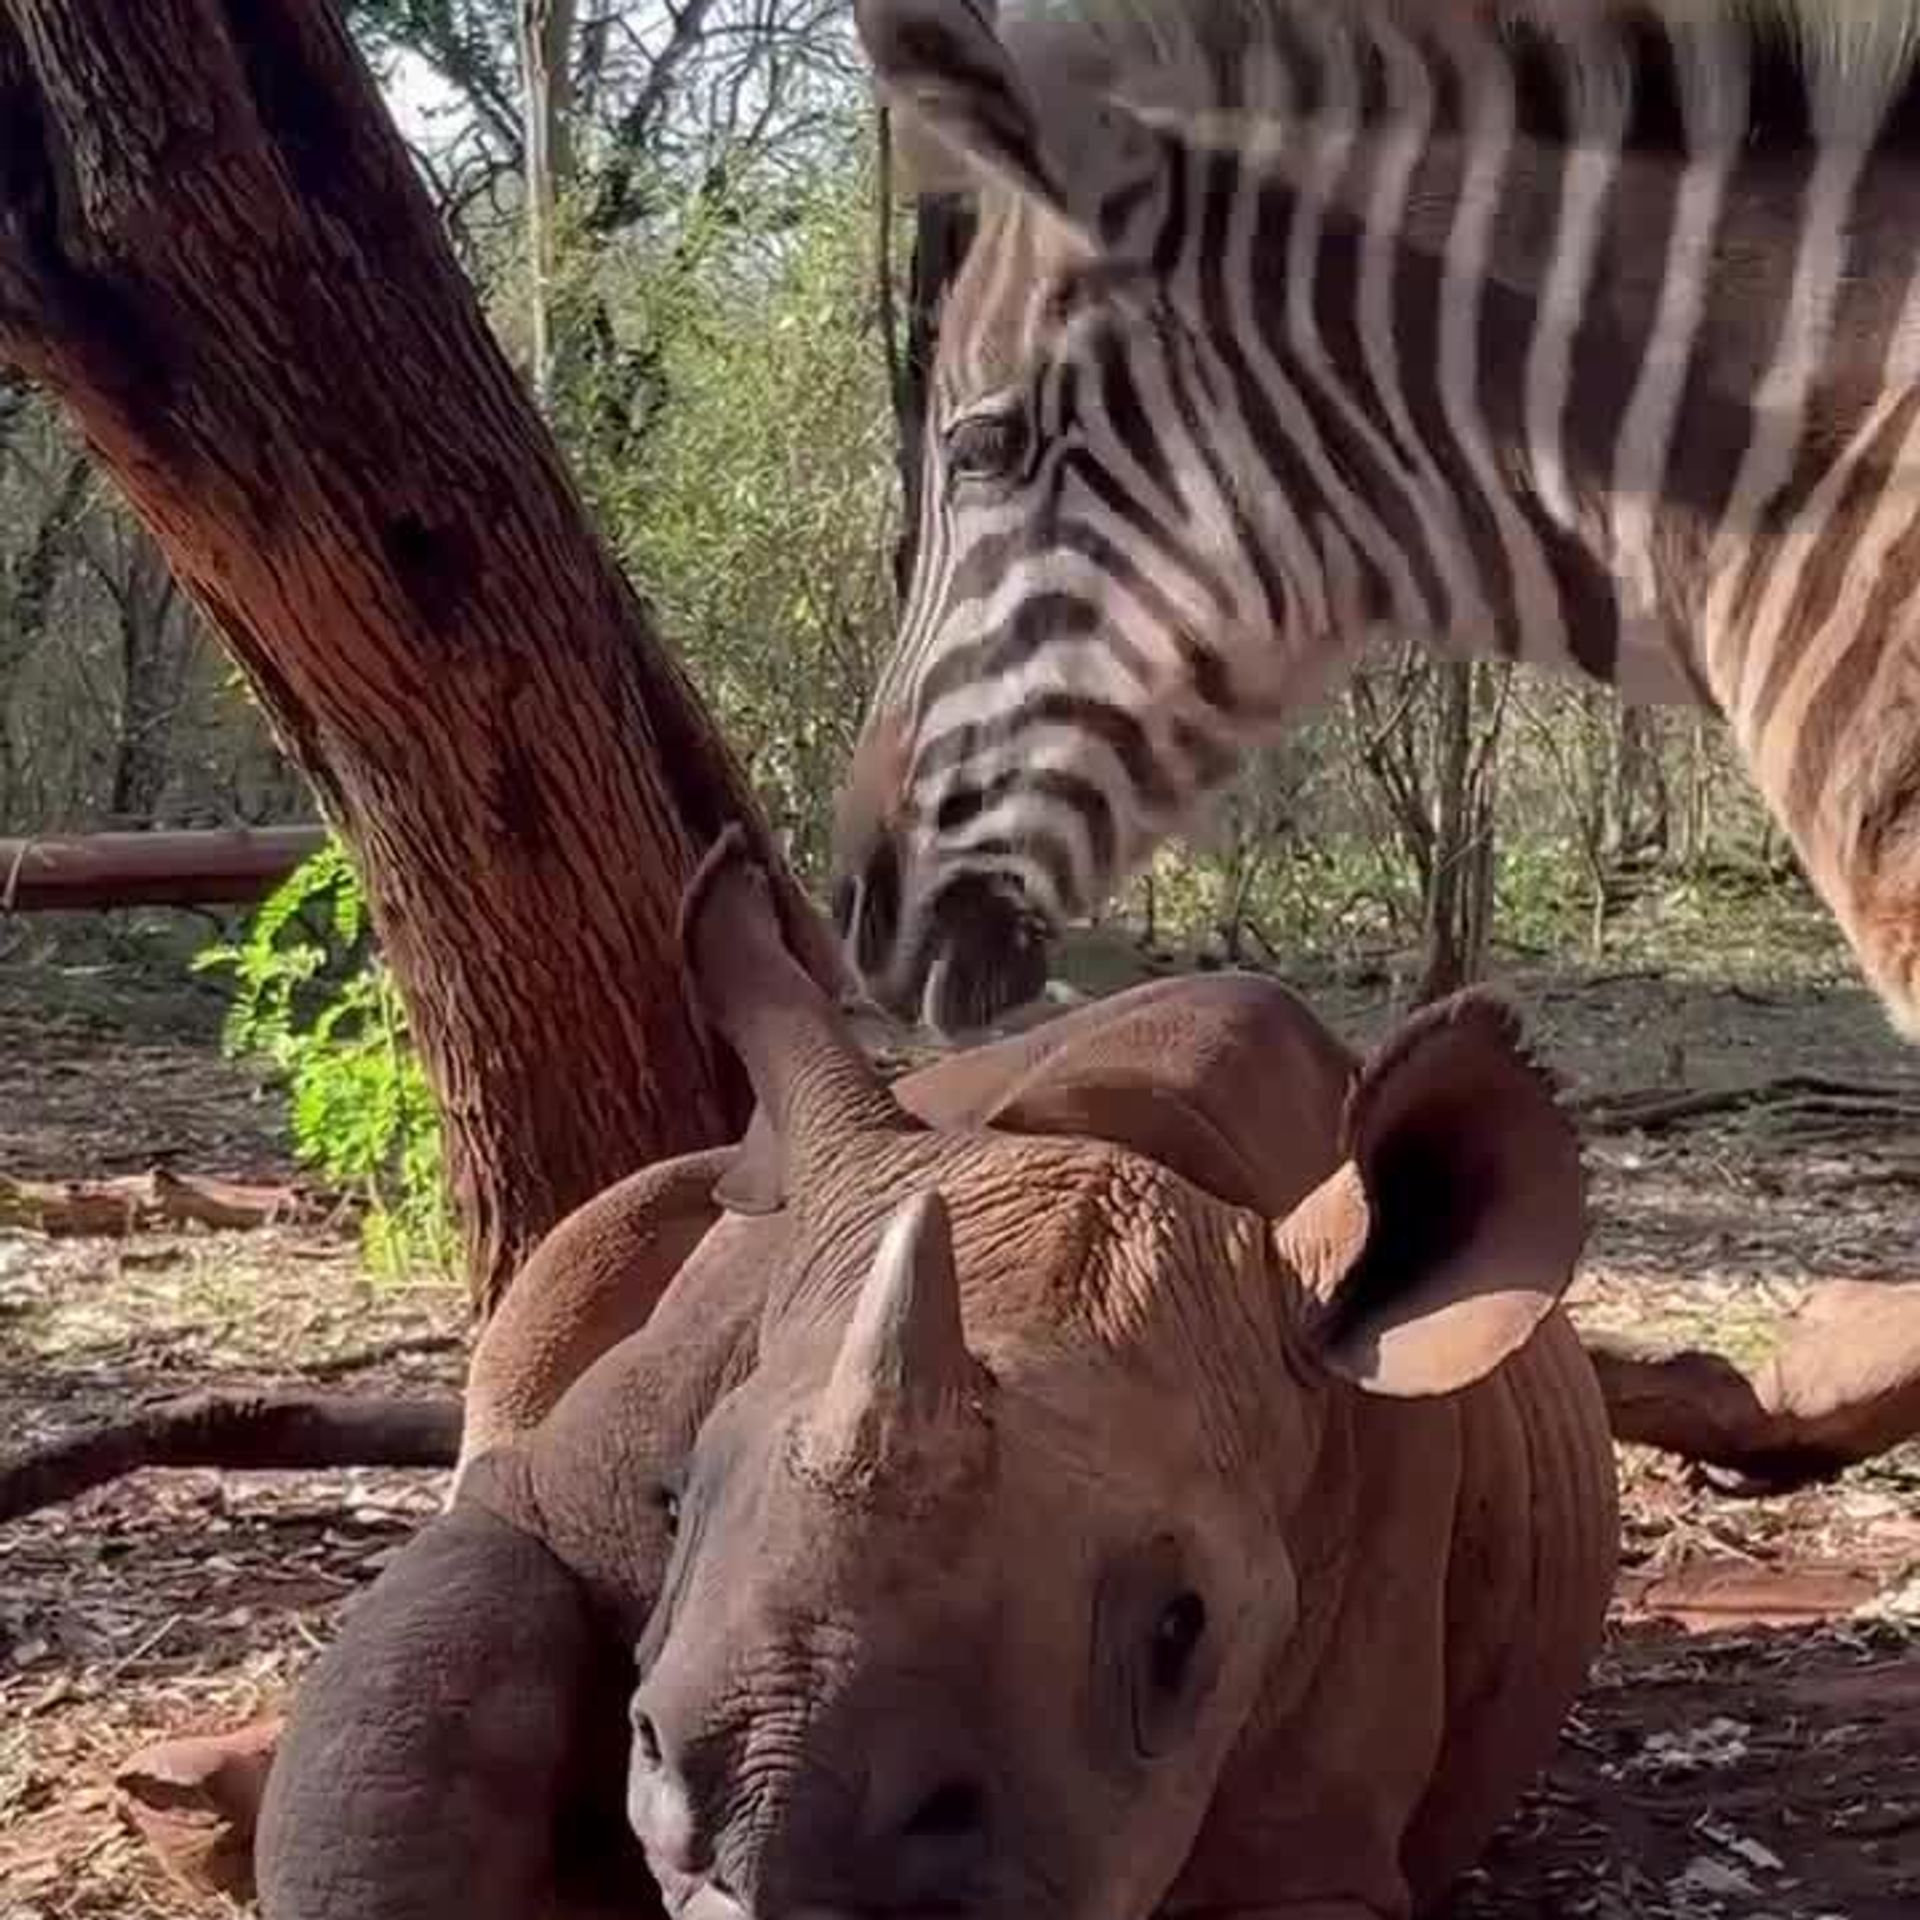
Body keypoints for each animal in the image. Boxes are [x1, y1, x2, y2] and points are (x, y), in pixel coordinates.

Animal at [257, 828, 1618, 1920]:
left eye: (1182, 1632)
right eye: (676, 1502)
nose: (767, 1818)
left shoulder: (1316, 1844)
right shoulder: (552, 1501)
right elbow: (383, 1776)